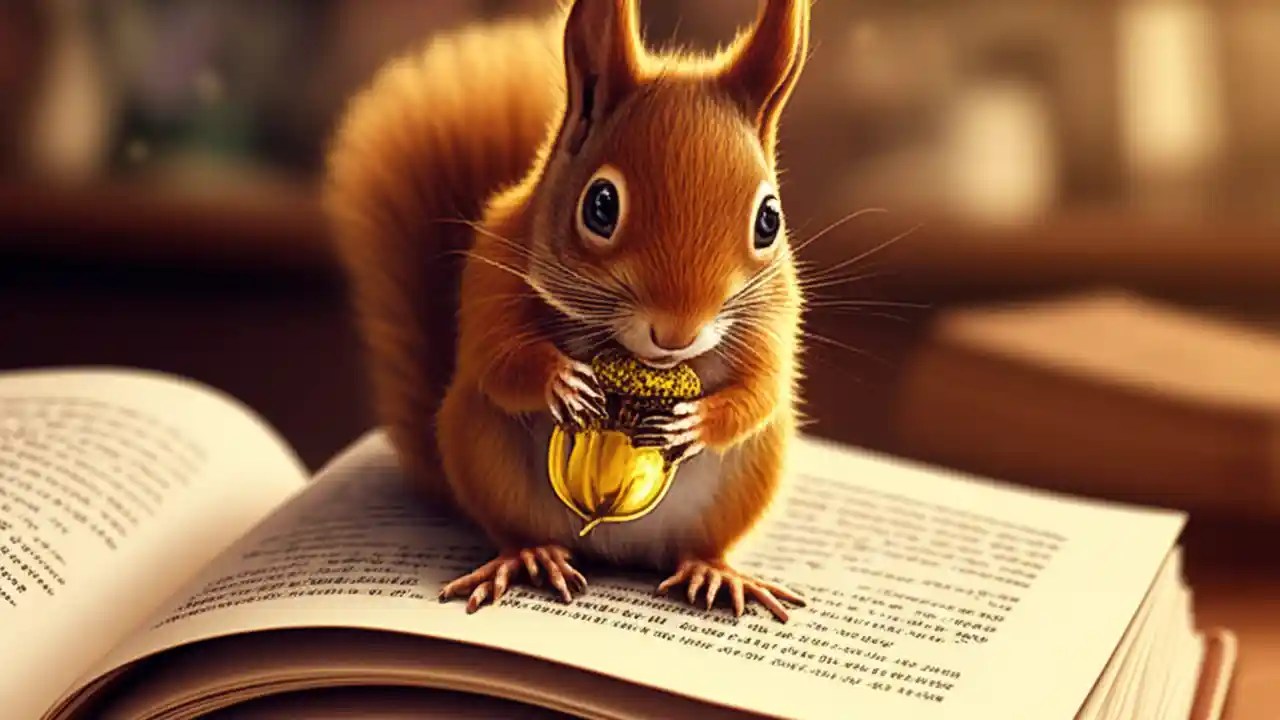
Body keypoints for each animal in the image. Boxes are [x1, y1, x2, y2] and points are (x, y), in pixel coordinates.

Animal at [324, 0, 810, 622]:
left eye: (769, 218)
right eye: (601, 206)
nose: (676, 333)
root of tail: (614, 550)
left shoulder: (775, 318)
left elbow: (761, 391)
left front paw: (697, 421)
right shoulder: (491, 276)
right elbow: (498, 361)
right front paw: (561, 382)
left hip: (749, 478)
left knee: (699, 544)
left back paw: (716, 571)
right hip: (487, 454)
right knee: (515, 528)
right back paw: (529, 558)